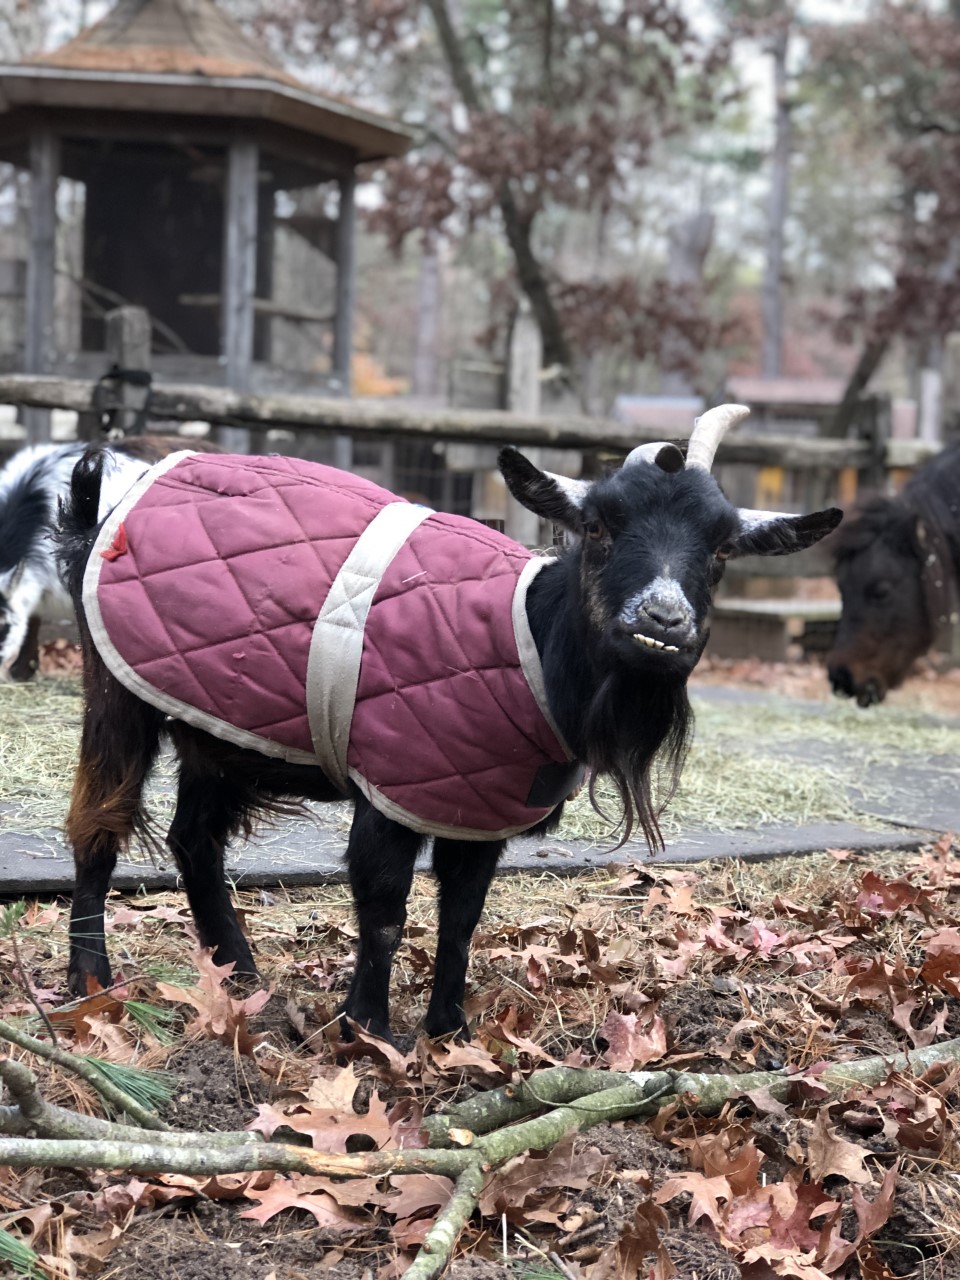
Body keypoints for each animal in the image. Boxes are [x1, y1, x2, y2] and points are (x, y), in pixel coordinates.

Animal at [57, 406, 840, 1040]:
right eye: (597, 527)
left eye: (722, 549)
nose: (662, 622)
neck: (531, 641)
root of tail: (108, 499)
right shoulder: (392, 788)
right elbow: (384, 909)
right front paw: (369, 1033)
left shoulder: (476, 810)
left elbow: (462, 920)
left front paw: (449, 1032)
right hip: (117, 691)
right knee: (97, 825)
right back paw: (90, 982)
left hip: (219, 728)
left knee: (195, 841)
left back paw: (242, 977)